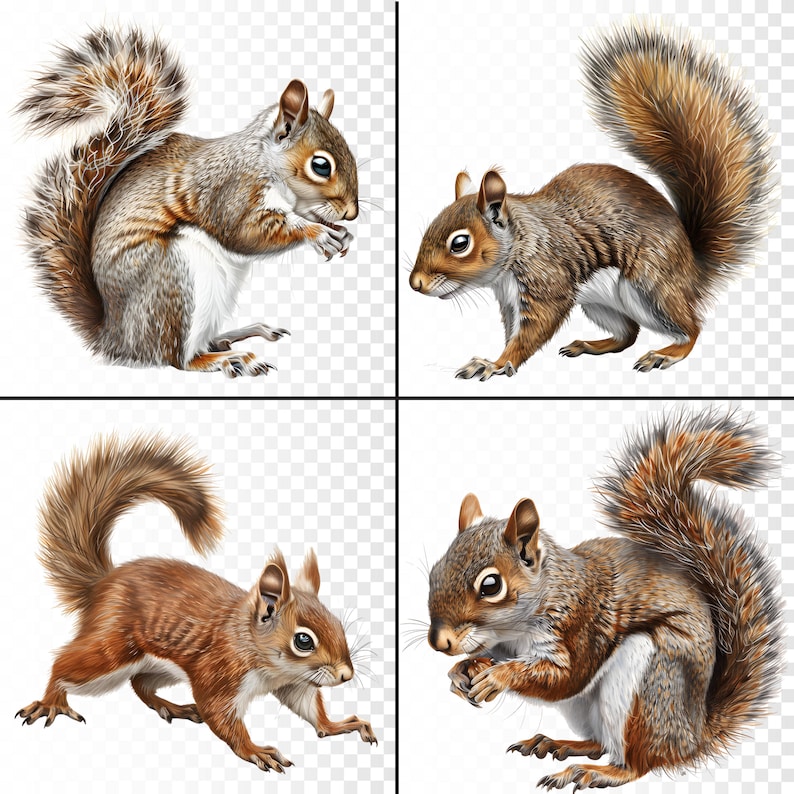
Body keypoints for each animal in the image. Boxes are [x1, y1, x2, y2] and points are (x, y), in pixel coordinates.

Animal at [16, 433, 376, 772]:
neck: (258, 652)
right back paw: (51, 701)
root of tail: (103, 584)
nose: (346, 675)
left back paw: (172, 706)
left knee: (139, 682)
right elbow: (219, 714)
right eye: (303, 640)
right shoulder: (218, 671)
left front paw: (339, 725)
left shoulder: (293, 684)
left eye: (337, 623)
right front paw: (255, 750)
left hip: (159, 667)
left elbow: (310, 709)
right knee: (65, 666)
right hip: (112, 649)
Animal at [18, 27, 358, 377]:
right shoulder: (228, 191)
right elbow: (245, 232)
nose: (352, 213)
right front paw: (318, 234)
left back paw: (238, 335)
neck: (263, 161)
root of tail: (115, 336)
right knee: (178, 359)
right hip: (175, 280)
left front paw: (340, 233)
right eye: (321, 166)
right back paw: (229, 358)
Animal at [409, 23, 773, 379]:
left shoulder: (548, 281)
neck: (521, 242)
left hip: (650, 287)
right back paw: (589, 345)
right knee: (628, 333)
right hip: (600, 303)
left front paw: (496, 364)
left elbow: (532, 330)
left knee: (691, 328)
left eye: (460, 243)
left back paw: (665, 353)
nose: (415, 284)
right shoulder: (510, 299)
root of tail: (692, 268)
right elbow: (512, 328)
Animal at [427, 409, 783, 789]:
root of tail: (693, 734)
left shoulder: (581, 624)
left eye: (491, 585)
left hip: (650, 686)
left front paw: (496, 678)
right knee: (600, 742)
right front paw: (460, 671)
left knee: (637, 763)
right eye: (434, 572)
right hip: (588, 709)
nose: (439, 642)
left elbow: (565, 677)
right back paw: (557, 744)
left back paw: (595, 772)